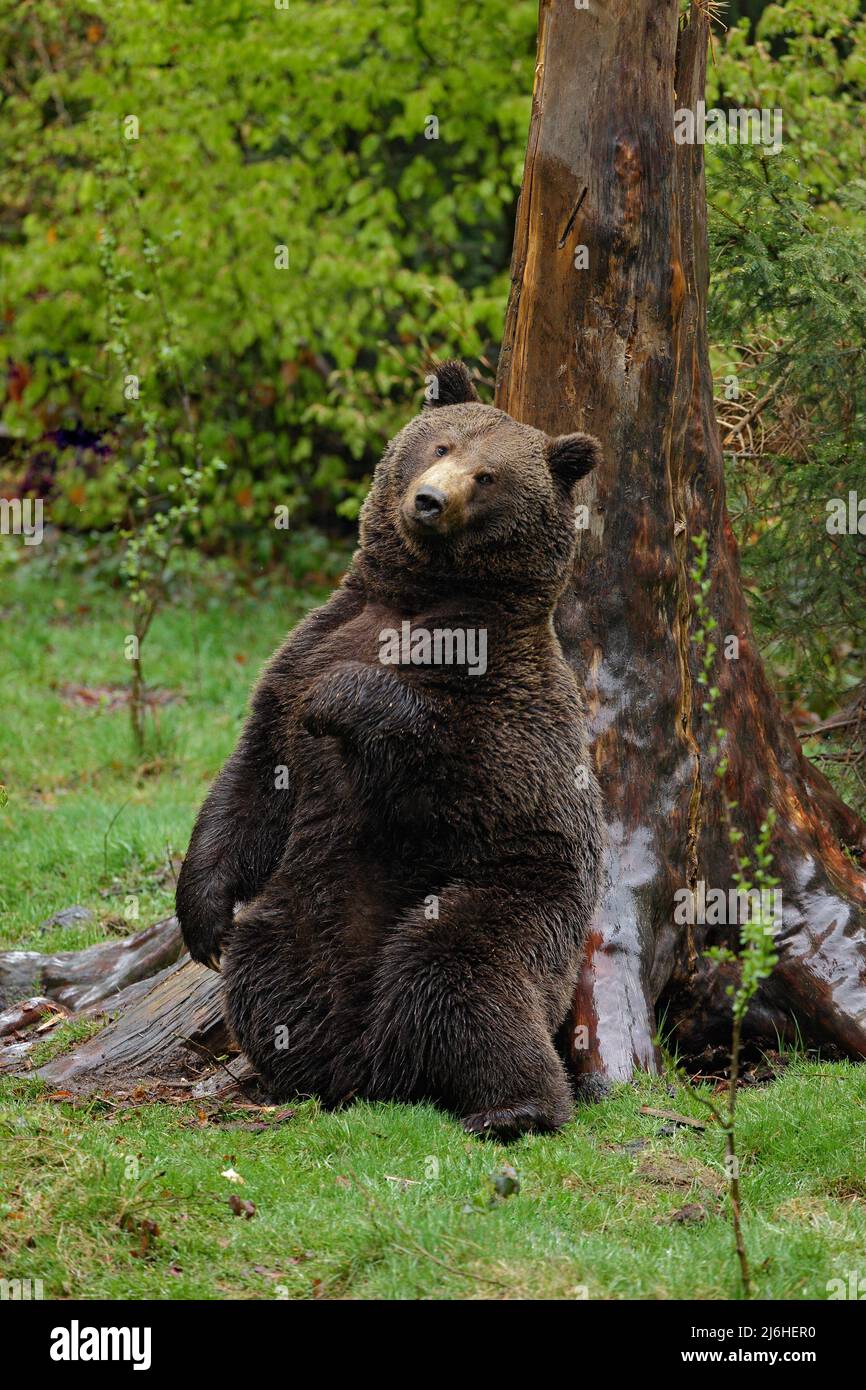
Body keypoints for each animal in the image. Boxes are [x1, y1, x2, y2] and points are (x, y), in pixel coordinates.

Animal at [176, 361, 604, 1139]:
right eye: (440, 444)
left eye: (489, 475)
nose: (429, 501)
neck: (418, 599)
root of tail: (383, 1066)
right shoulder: (305, 647)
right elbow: (253, 778)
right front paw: (203, 918)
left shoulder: (503, 695)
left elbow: (462, 760)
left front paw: (340, 697)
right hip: (307, 911)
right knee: (267, 967)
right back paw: (302, 1069)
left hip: (518, 898)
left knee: (463, 972)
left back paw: (517, 1105)